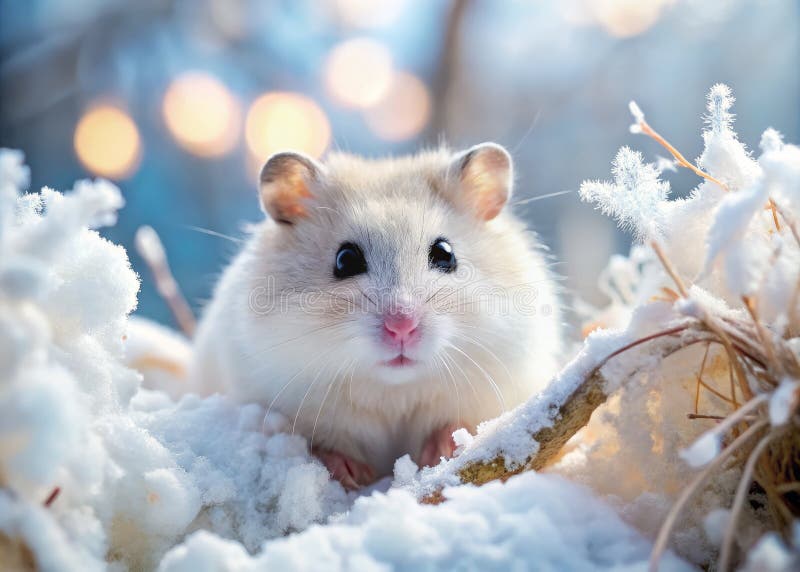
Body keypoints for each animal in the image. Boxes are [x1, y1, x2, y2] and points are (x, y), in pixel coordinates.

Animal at [190, 143, 562, 489]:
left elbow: (458, 423)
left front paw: (440, 451)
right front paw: (353, 473)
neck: (394, 390)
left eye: (445, 254)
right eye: (345, 260)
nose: (402, 327)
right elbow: (319, 444)